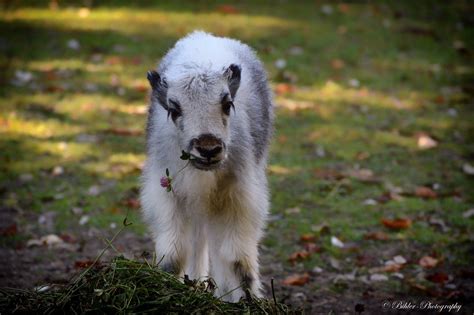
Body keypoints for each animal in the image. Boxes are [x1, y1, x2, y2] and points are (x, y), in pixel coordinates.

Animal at [141, 30, 272, 302]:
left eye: (227, 103)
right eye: (174, 108)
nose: (208, 149)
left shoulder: (239, 199)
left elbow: (237, 259)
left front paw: (247, 300)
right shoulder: (167, 195)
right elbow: (174, 253)